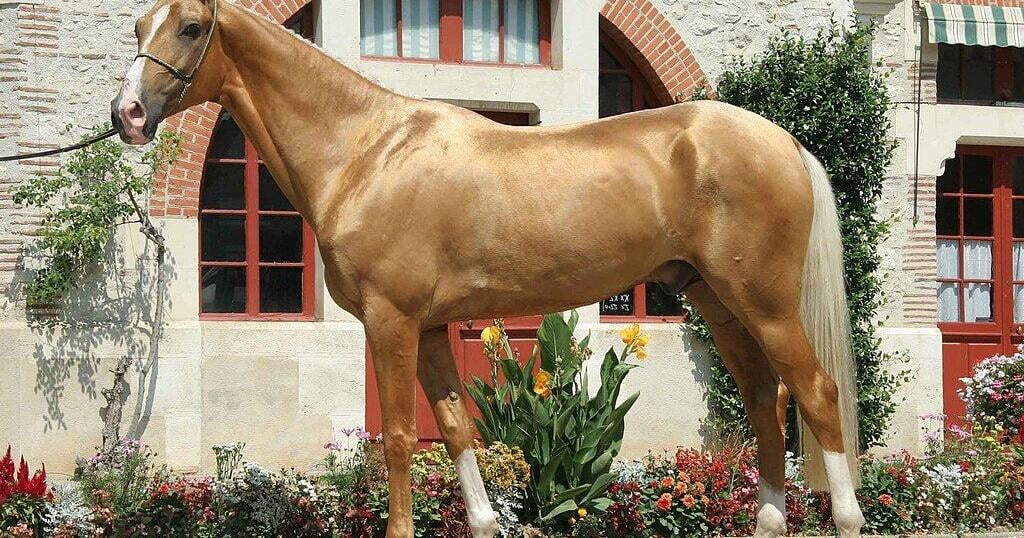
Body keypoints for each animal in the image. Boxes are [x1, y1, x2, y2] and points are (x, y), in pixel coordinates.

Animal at [110, 0, 866, 536]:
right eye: (138, 26)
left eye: (190, 27)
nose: (128, 113)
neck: (366, 151)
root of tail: (783, 141)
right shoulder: (430, 330)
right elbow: (454, 430)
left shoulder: (392, 322)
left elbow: (400, 440)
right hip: (718, 302)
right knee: (765, 400)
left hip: (765, 303)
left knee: (816, 393)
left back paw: (849, 517)